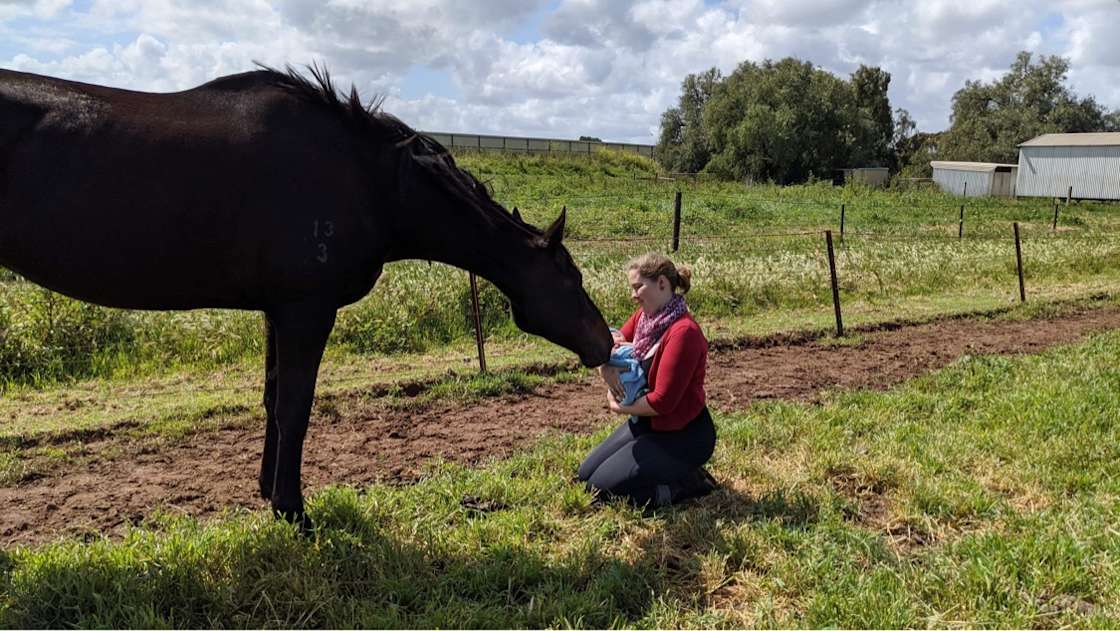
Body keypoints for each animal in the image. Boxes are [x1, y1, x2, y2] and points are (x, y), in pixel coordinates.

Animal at [0, 64, 614, 529]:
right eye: (571, 277)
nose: (606, 343)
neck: (372, 180)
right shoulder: (305, 311)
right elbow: (295, 408)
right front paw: (293, 510)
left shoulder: (276, 312)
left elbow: (272, 401)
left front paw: (267, 491)